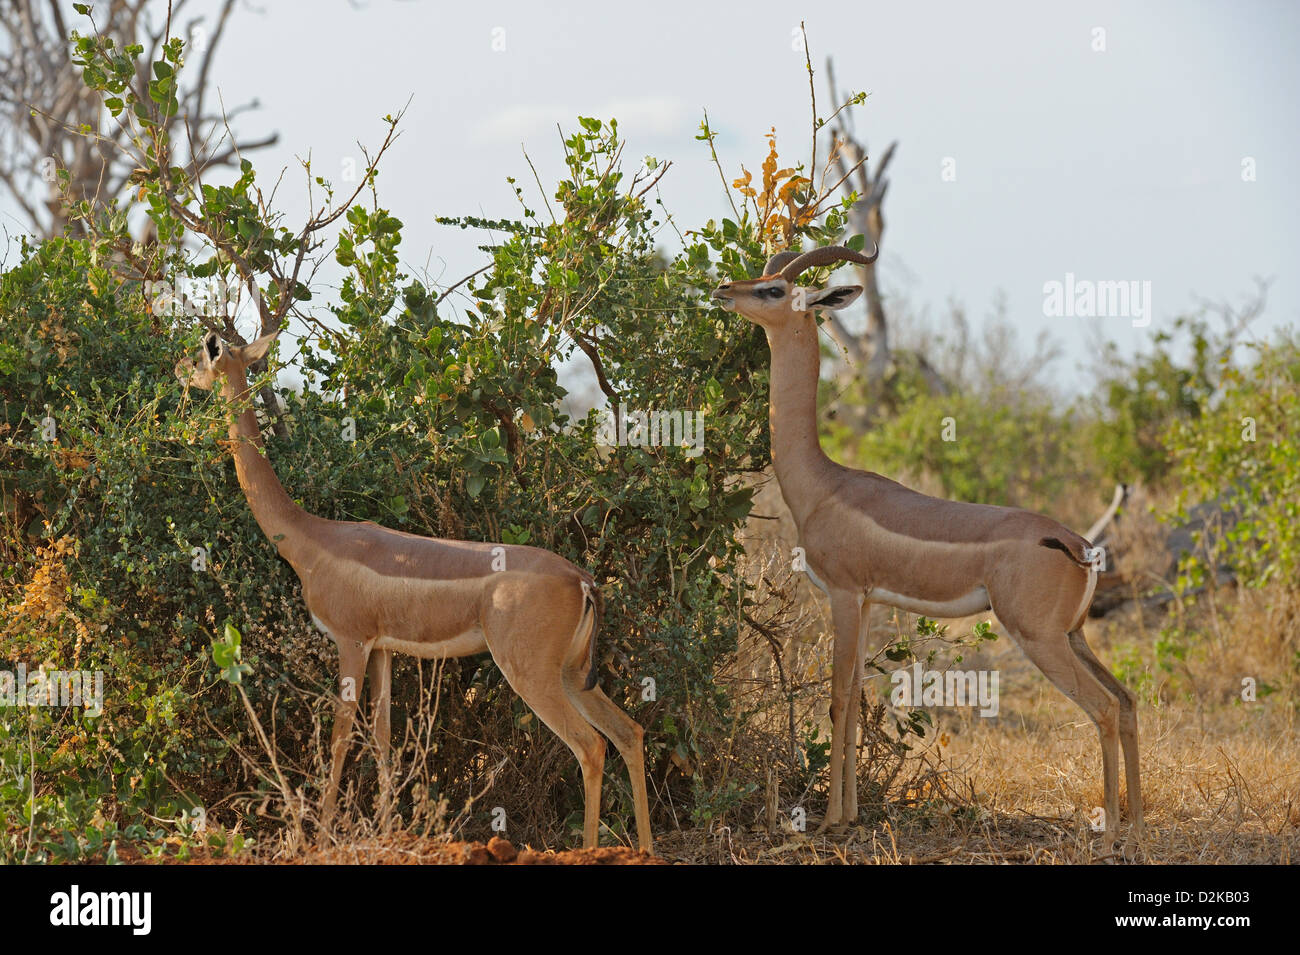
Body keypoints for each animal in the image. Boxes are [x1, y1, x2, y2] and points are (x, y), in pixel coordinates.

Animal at [175, 330, 652, 851]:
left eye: (205, 353)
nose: (179, 369)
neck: (310, 539)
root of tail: (582, 580)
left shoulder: (351, 642)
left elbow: (342, 736)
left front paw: (321, 840)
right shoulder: (383, 649)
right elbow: (383, 738)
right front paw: (386, 832)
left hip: (532, 675)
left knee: (590, 745)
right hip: (572, 673)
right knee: (629, 732)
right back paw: (645, 848)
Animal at [712, 244, 1144, 852]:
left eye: (774, 290)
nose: (724, 289)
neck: (823, 485)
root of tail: (1080, 545)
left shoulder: (844, 594)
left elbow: (838, 698)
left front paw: (828, 821)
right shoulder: (868, 601)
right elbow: (855, 698)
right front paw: (850, 816)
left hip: (1040, 639)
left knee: (1103, 708)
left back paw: (1108, 837)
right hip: (1075, 635)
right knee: (1126, 700)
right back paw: (1140, 827)